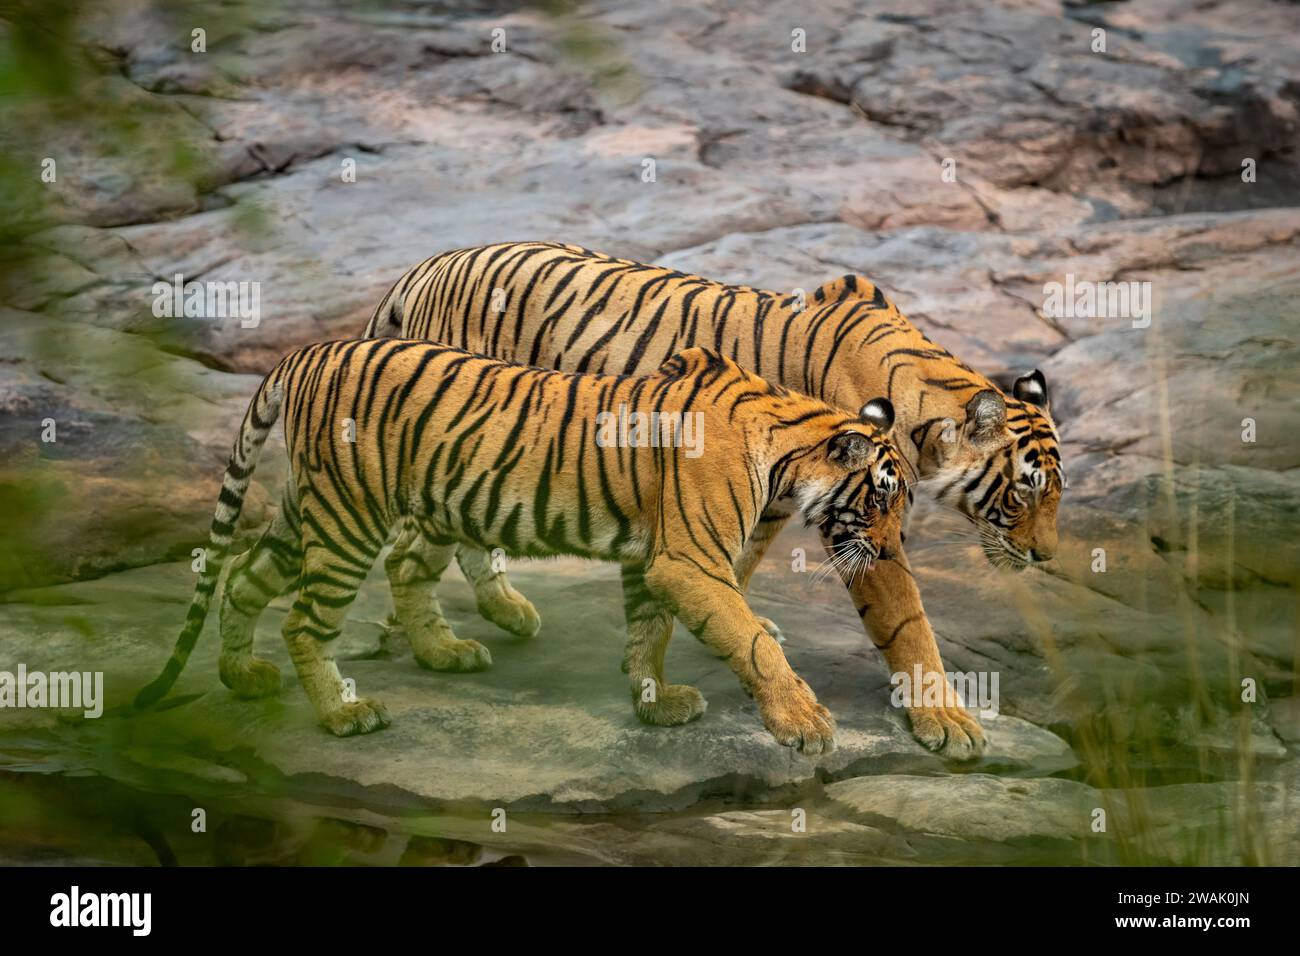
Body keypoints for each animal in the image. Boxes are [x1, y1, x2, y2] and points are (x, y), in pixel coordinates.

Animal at [135, 340, 908, 752]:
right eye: (881, 499)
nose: (889, 553)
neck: (786, 447)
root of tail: (303, 353)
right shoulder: (687, 560)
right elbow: (752, 641)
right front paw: (804, 723)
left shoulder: (651, 558)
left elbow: (649, 633)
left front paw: (654, 703)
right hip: (348, 518)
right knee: (303, 620)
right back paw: (343, 715)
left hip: (312, 510)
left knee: (244, 576)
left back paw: (248, 675)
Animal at [345, 241, 1066, 759]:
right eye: (1025, 488)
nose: (1047, 557)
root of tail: (418, 269)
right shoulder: (858, 523)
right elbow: (907, 620)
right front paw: (945, 720)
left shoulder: (773, 497)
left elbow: (732, 568)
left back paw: (504, 613)